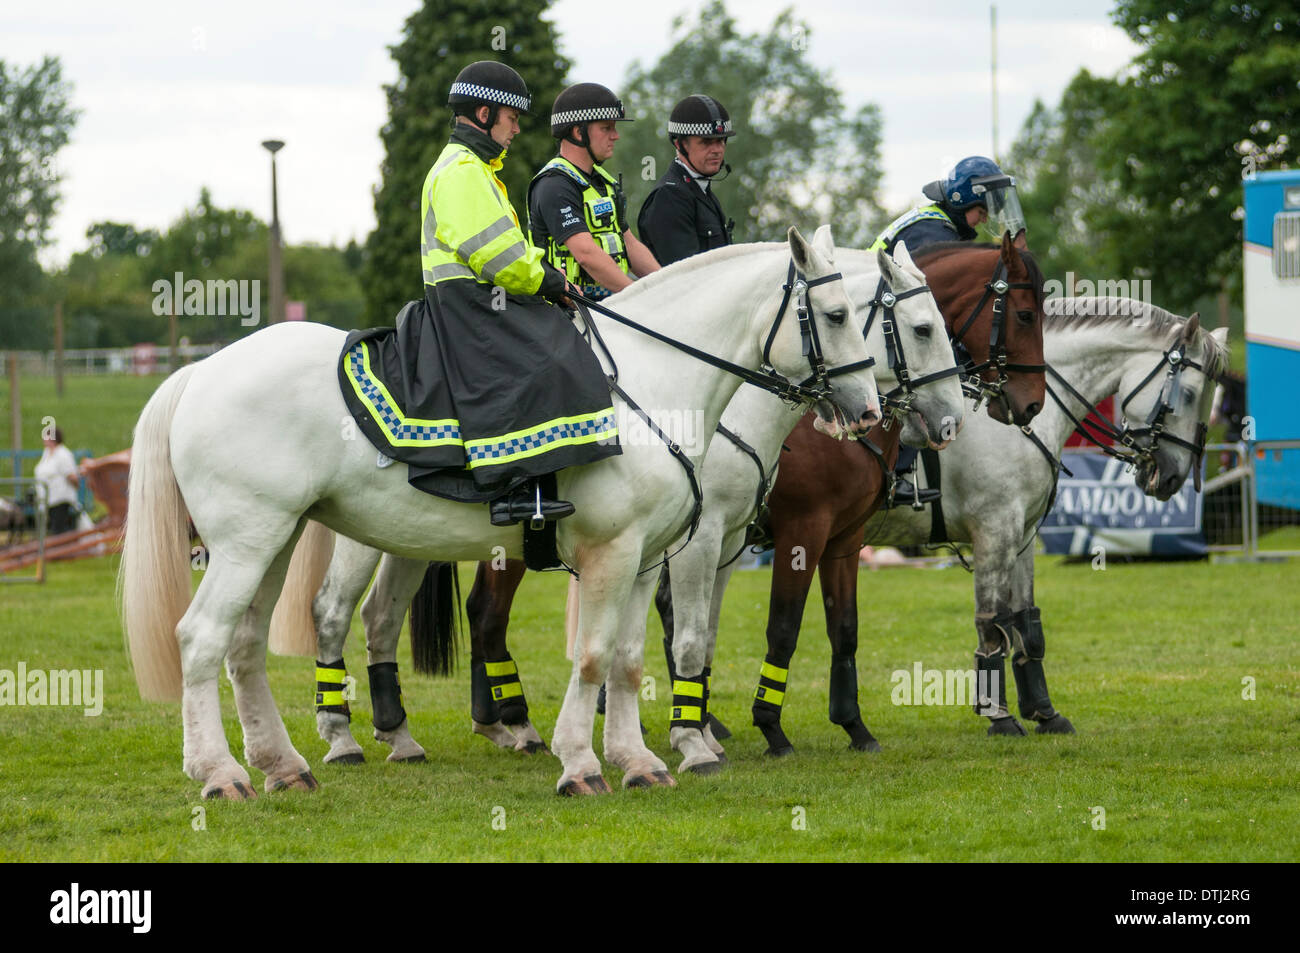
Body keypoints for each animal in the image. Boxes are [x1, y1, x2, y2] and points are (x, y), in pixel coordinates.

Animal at [120, 227, 882, 798]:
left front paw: (638, 761)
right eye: (837, 316)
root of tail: (201, 370)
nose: (870, 409)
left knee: (245, 645)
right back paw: (222, 772)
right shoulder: (613, 552)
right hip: (249, 544)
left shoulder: (645, 560)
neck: (655, 382)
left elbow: (629, 660)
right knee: (203, 638)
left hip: (274, 542)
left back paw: (282, 765)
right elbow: (595, 655)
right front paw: (582, 763)